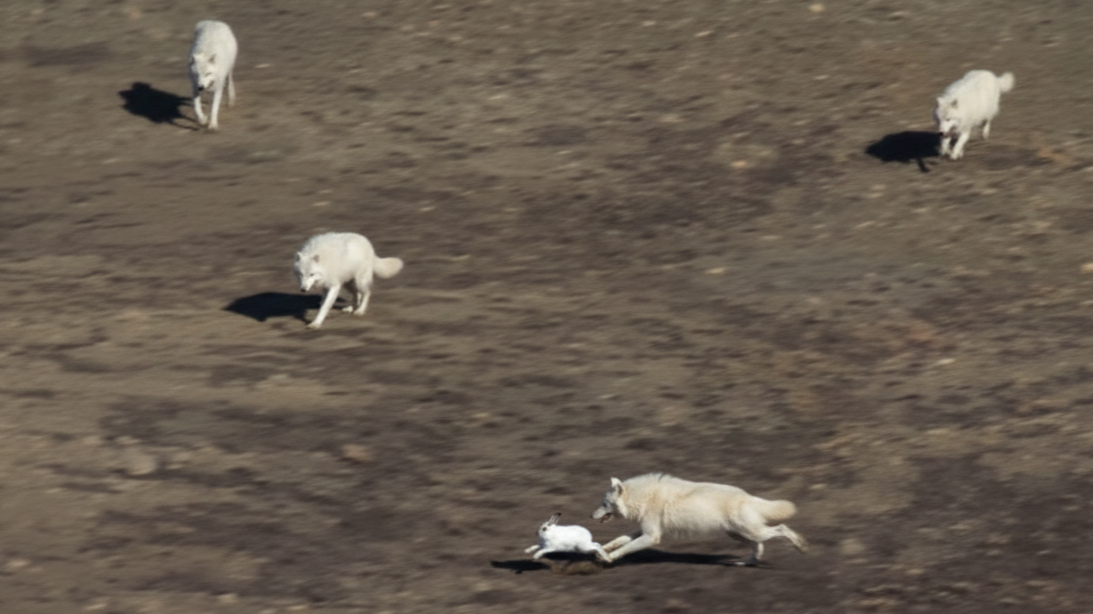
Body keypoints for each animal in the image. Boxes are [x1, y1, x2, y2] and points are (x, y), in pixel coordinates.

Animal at [591, 473, 808, 566]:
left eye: (604, 504)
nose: (590, 516)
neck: (643, 497)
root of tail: (748, 496)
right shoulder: (643, 531)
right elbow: (620, 540)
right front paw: (602, 550)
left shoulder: (651, 537)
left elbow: (625, 548)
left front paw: (608, 558)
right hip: (740, 535)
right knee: (759, 546)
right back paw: (747, 563)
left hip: (752, 532)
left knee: (782, 529)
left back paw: (800, 545)